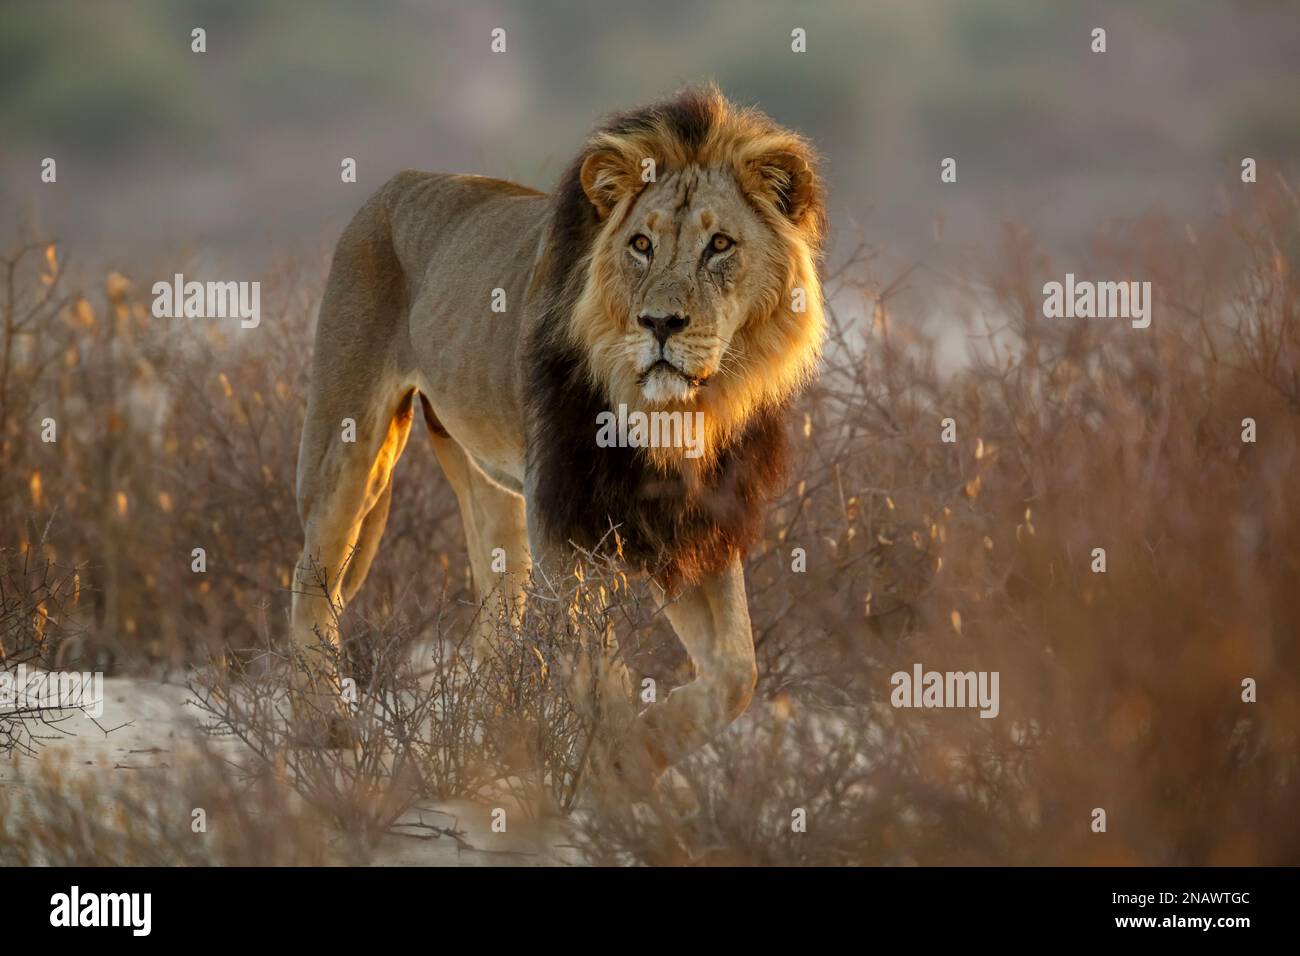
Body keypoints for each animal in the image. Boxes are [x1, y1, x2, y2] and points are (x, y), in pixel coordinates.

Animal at [290, 85, 826, 779]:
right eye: (642, 244)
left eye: (720, 246)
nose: (660, 323)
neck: (674, 413)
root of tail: (398, 182)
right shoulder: (564, 526)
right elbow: (598, 670)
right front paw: (615, 768)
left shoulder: (693, 525)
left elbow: (737, 673)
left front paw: (636, 759)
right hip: (348, 446)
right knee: (311, 579)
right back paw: (324, 727)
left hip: (490, 493)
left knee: (493, 625)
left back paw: (489, 748)